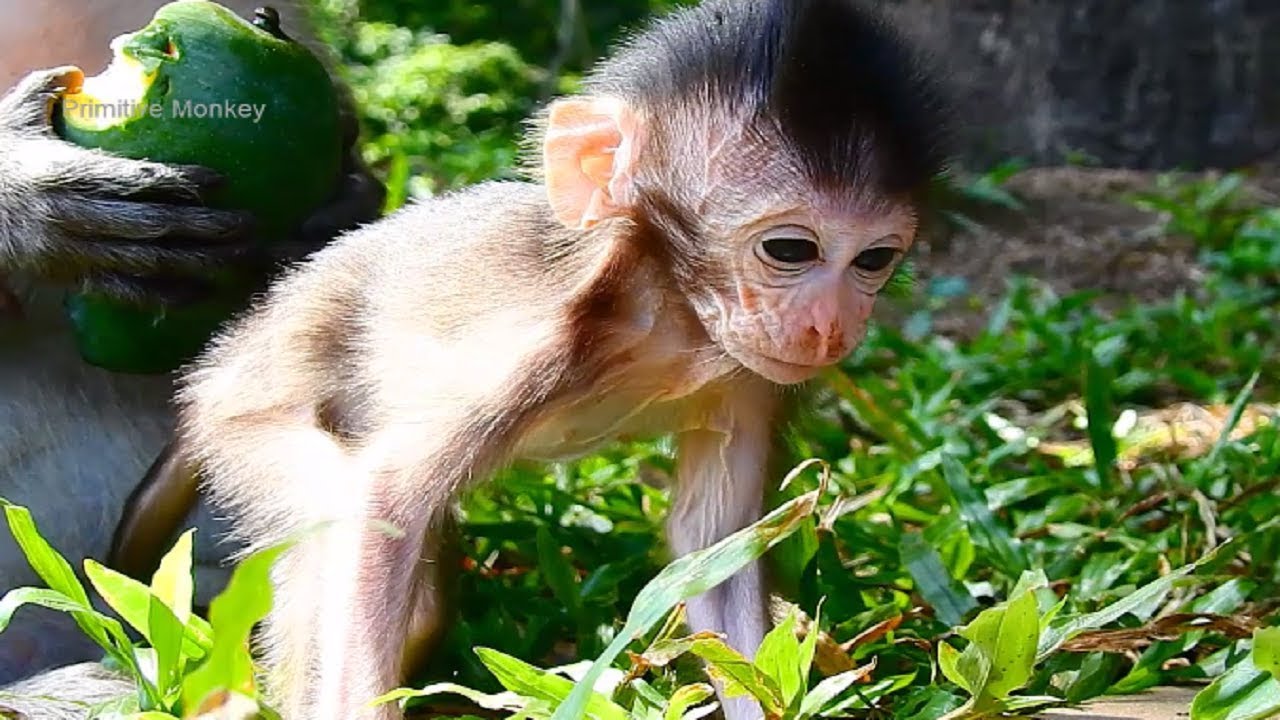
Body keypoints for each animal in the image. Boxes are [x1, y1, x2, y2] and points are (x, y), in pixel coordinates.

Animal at [170, 0, 951, 717]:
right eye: (790, 250)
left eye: (873, 260)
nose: (831, 327)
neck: (673, 316)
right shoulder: (526, 350)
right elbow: (382, 503)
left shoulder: (750, 376)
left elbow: (714, 546)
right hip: (245, 419)